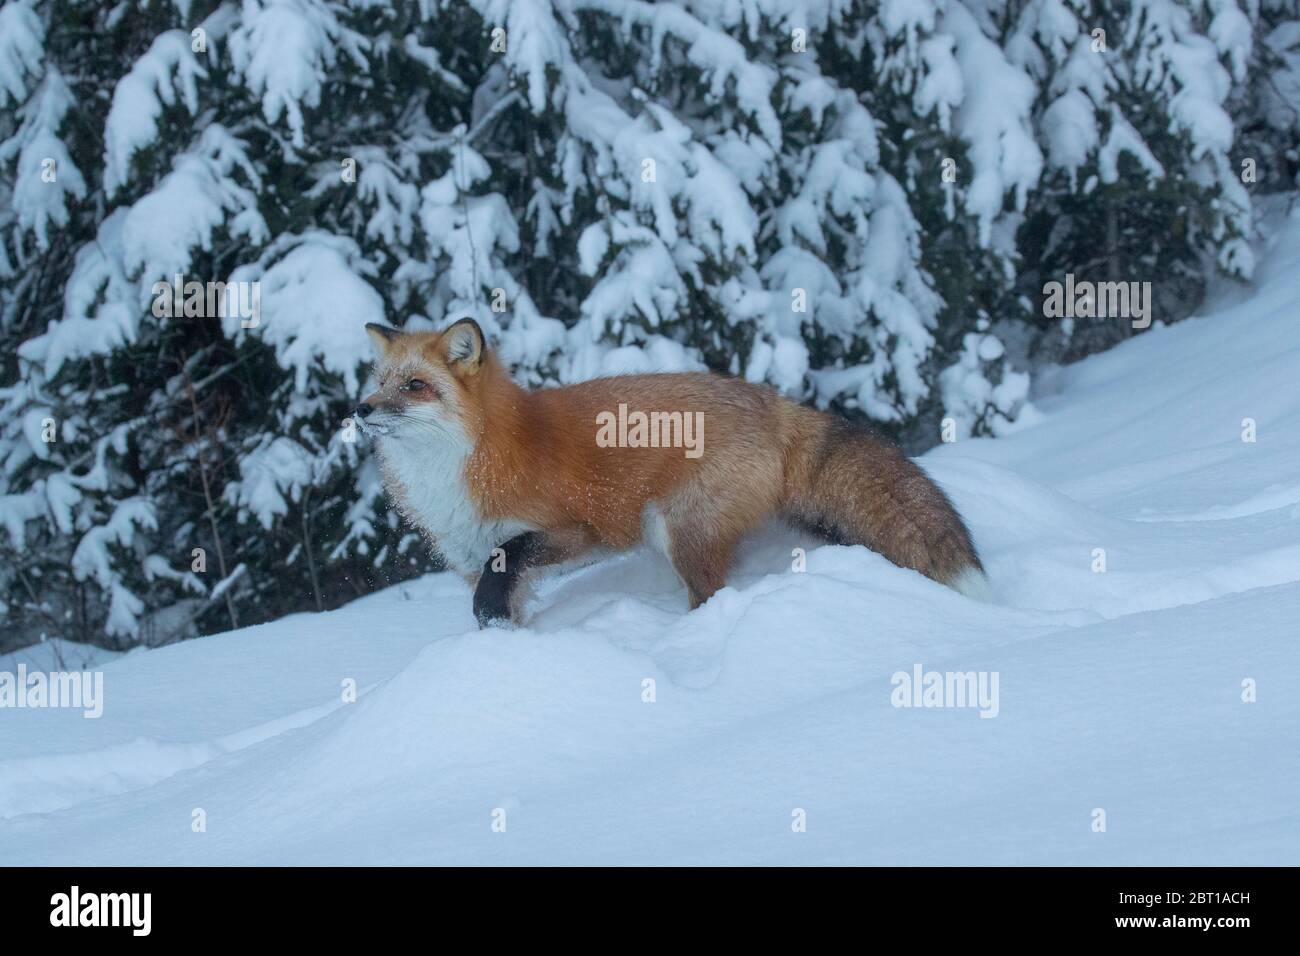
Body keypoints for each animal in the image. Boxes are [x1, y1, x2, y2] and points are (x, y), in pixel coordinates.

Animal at [354, 318, 987, 627]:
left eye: (415, 386)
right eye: (379, 382)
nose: (358, 410)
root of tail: (771, 401)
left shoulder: (573, 532)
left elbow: (501, 565)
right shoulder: (469, 559)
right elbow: (495, 600)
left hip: (676, 530)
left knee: (711, 596)